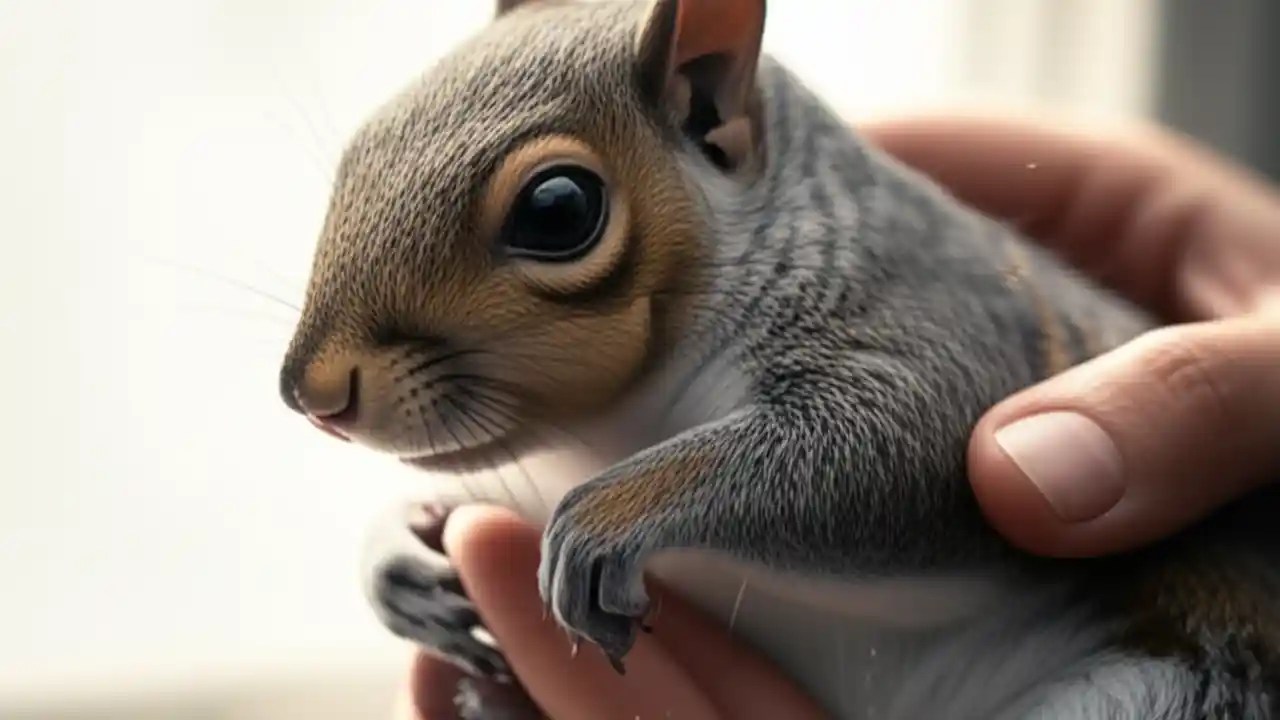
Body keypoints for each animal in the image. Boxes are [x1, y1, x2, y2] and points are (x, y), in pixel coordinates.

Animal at [277, 1, 1280, 718]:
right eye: (363, 145)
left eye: (558, 210)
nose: (311, 393)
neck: (611, 430)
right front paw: (397, 560)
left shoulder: (946, 323)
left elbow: (897, 442)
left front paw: (606, 517)